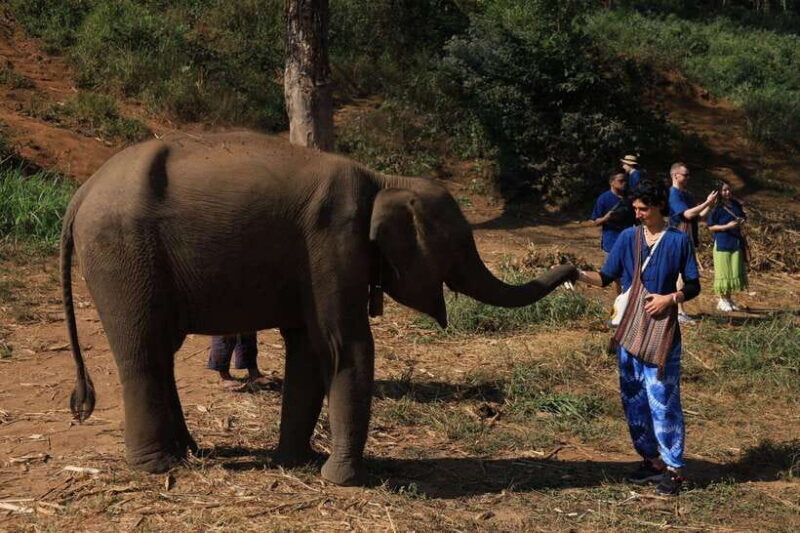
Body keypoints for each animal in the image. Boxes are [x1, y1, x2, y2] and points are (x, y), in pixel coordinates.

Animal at [61, 130, 577, 486]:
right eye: (458, 245)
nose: (573, 265)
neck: (383, 180)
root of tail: (80, 195)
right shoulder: (333, 241)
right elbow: (345, 344)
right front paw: (346, 480)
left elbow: (309, 349)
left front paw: (300, 463)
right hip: (121, 255)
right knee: (143, 352)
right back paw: (159, 466)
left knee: (161, 351)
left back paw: (188, 452)